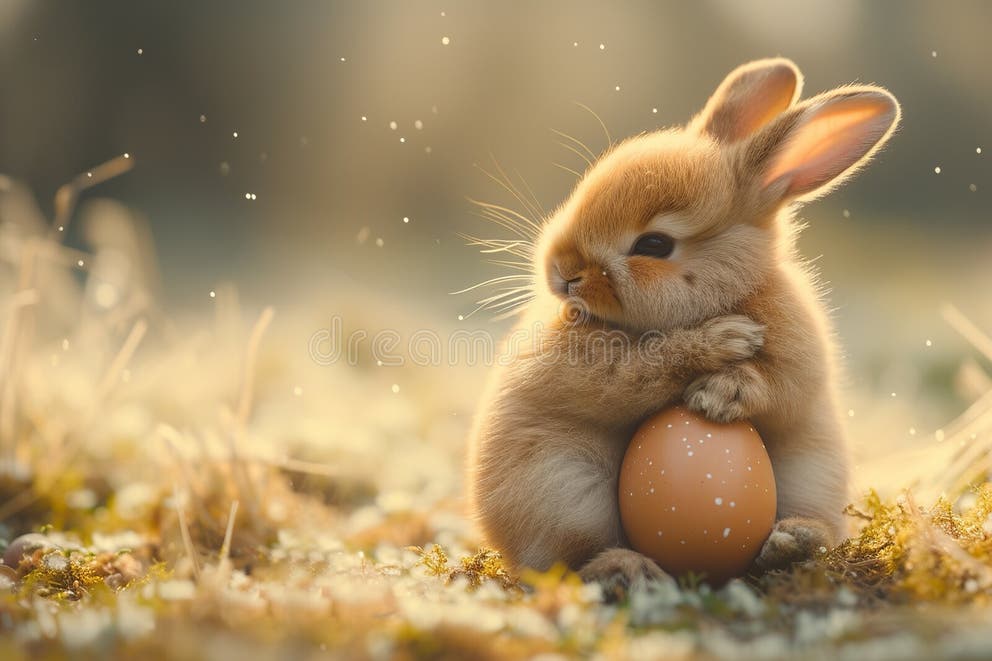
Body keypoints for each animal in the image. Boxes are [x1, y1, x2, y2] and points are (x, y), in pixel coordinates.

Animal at [466, 58, 900, 594]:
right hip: (561, 490)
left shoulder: (801, 358)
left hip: (812, 475)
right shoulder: (587, 368)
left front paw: (717, 396)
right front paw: (724, 344)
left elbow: (782, 384)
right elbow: (633, 372)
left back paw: (790, 542)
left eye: (654, 245)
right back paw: (629, 570)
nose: (561, 272)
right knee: (571, 559)